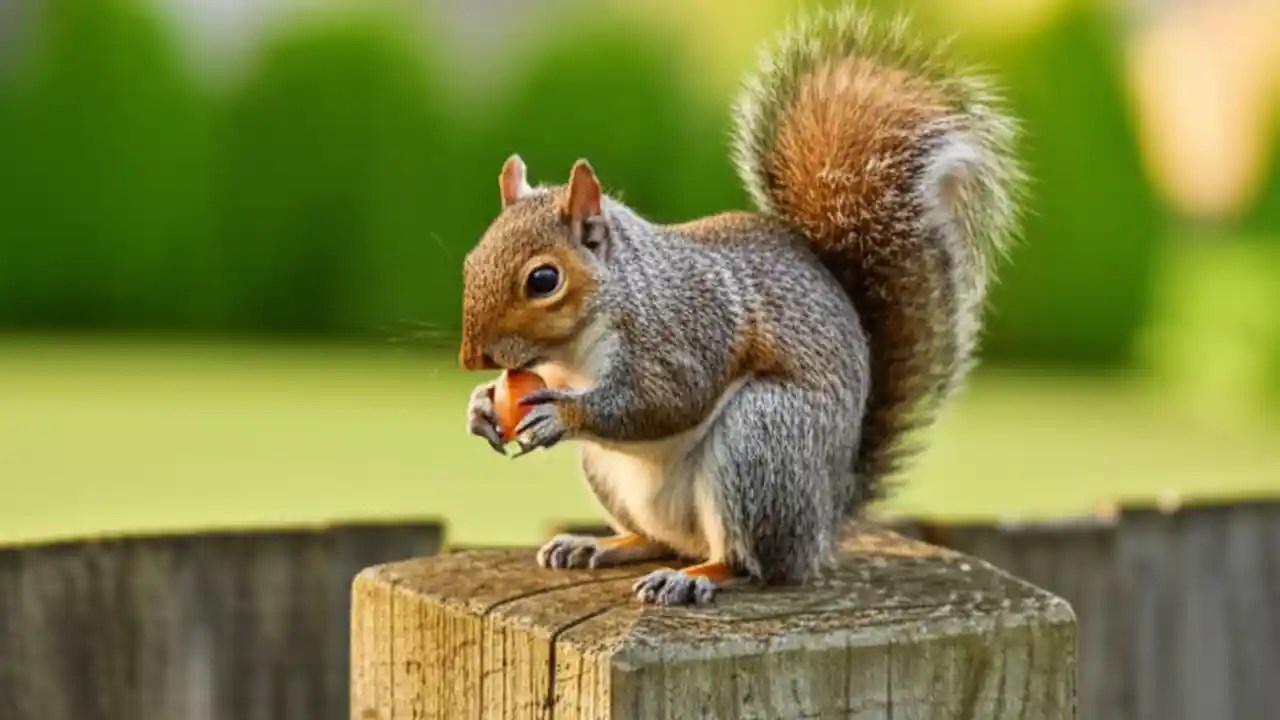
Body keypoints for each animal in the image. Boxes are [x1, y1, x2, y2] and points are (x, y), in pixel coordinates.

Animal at [459, 7, 1022, 606]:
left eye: (544, 279)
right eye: (472, 260)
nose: (472, 358)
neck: (580, 345)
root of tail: (825, 519)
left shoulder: (687, 327)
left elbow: (665, 399)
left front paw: (562, 413)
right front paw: (480, 407)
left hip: (764, 440)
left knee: (751, 563)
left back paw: (695, 576)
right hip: (612, 470)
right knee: (659, 538)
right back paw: (603, 544)